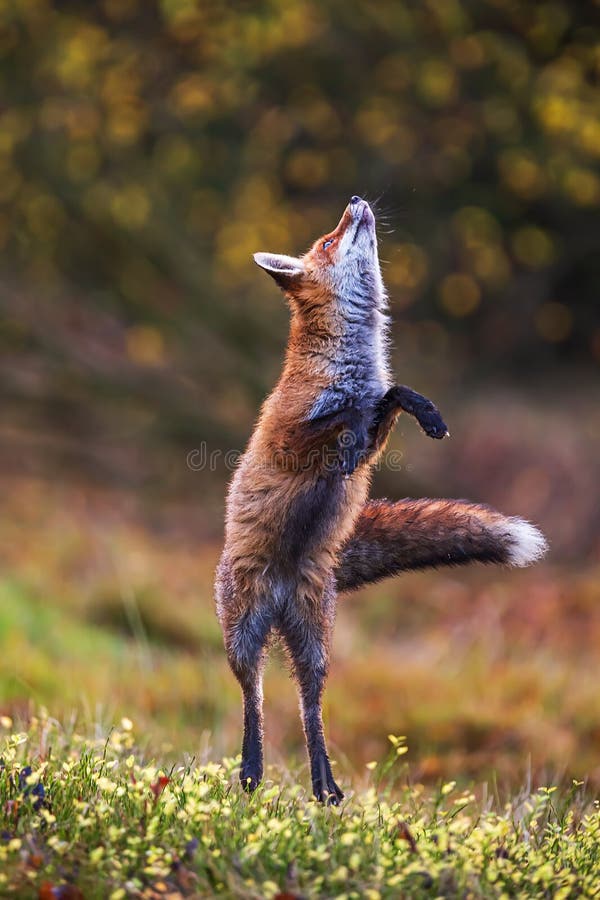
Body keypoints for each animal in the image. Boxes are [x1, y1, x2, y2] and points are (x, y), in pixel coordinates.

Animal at [215, 195, 548, 804]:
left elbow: (392, 396)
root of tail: (282, 594)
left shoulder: (377, 427)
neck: (347, 368)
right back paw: (251, 771)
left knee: (309, 709)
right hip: (243, 634)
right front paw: (345, 440)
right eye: (328, 241)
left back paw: (324, 786)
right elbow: (342, 420)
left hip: (314, 645)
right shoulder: (288, 435)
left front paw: (428, 415)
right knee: (255, 699)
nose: (355, 201)